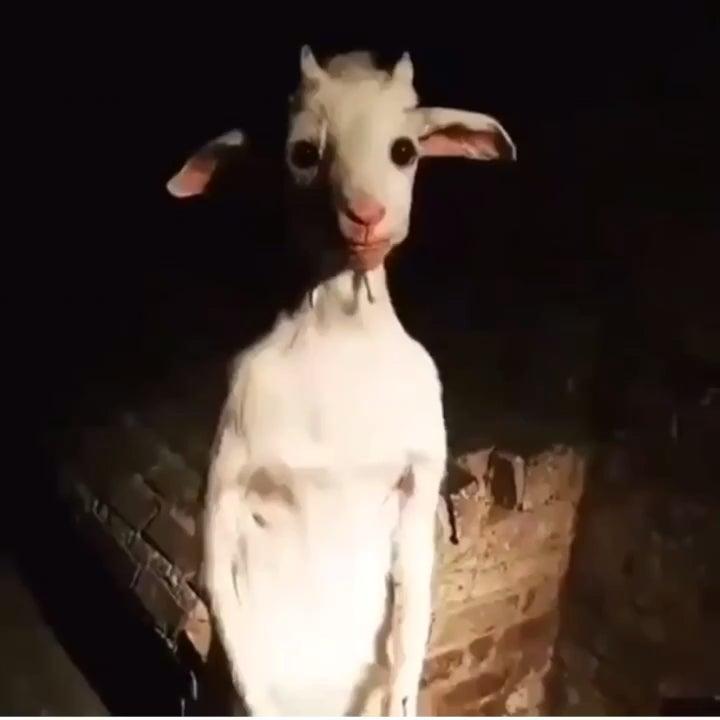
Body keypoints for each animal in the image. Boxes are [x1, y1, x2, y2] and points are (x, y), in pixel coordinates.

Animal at [166, 47, 516, 716]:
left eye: (405, 150)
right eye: (303, 154)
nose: (366, 215)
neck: (343, 334)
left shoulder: (422, 461)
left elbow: (416, 583)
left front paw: (404, 691)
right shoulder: (232, 447)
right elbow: (215, 557)